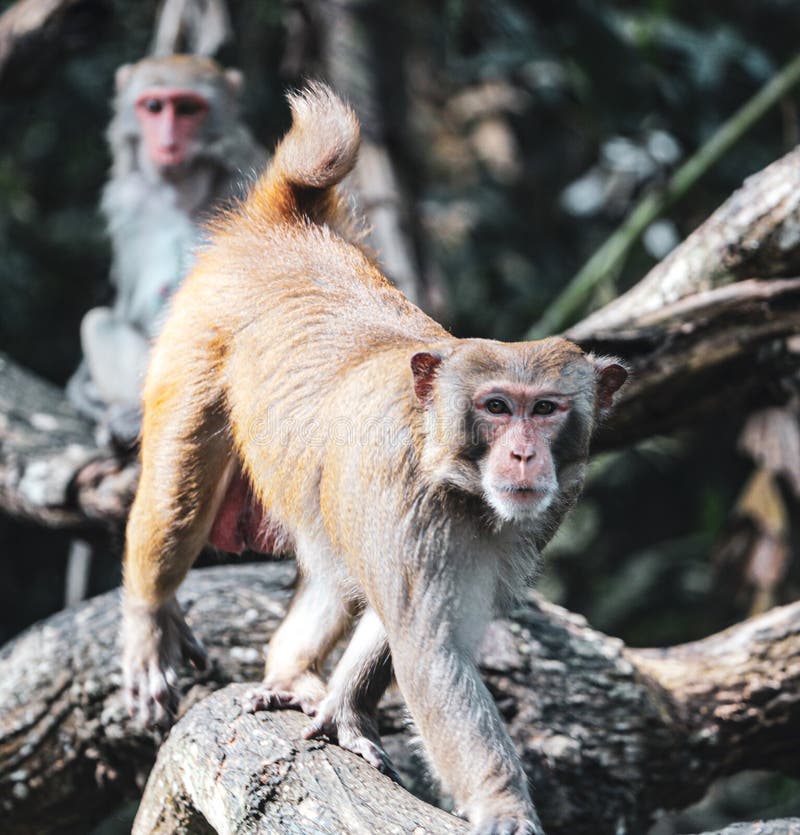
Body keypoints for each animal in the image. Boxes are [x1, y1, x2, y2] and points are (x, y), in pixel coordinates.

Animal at [67, 54, 266, 446]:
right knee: (98, 322)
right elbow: (124, 307)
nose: (168, 142)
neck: (182, 195)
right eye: (154, 107)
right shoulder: (128, 204)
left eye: (188, 109)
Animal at [120, 83, 627, 834]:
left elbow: (397, 622)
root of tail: (286, 225)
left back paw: (289, 669)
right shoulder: (402, 488)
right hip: (193, 342)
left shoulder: (542, 512)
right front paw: (503, 804)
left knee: (335, 561)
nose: (524, 454)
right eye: (496, 405)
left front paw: (344, 712)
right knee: (177, 497)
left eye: (547, 408)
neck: (451, 471)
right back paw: (150, 618)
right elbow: (429, 645)